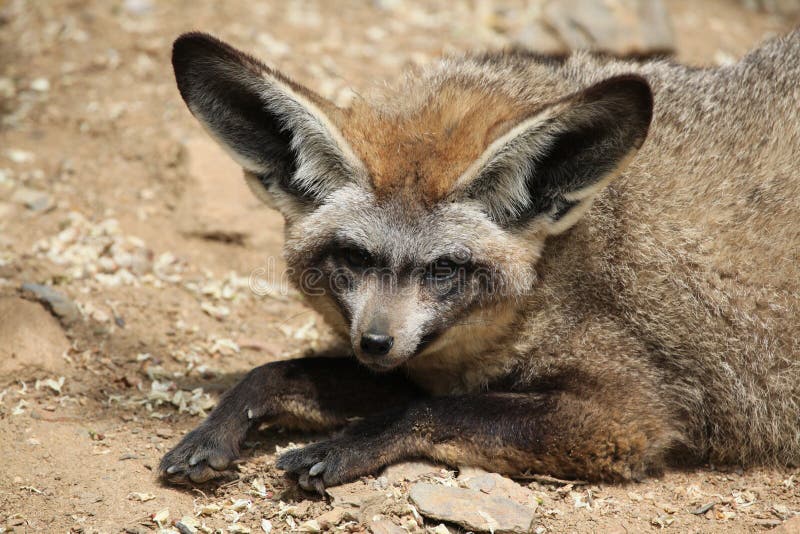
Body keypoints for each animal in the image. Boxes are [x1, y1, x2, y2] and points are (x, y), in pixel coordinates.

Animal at [159, 30, 800, 492]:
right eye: (354, 257)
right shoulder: (415, 367)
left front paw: (348, 445)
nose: (374, 343)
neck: (549, 288)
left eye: (444, 269)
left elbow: (441, 411)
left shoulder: (625, 416)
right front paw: (217, 428)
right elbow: (277, 371)